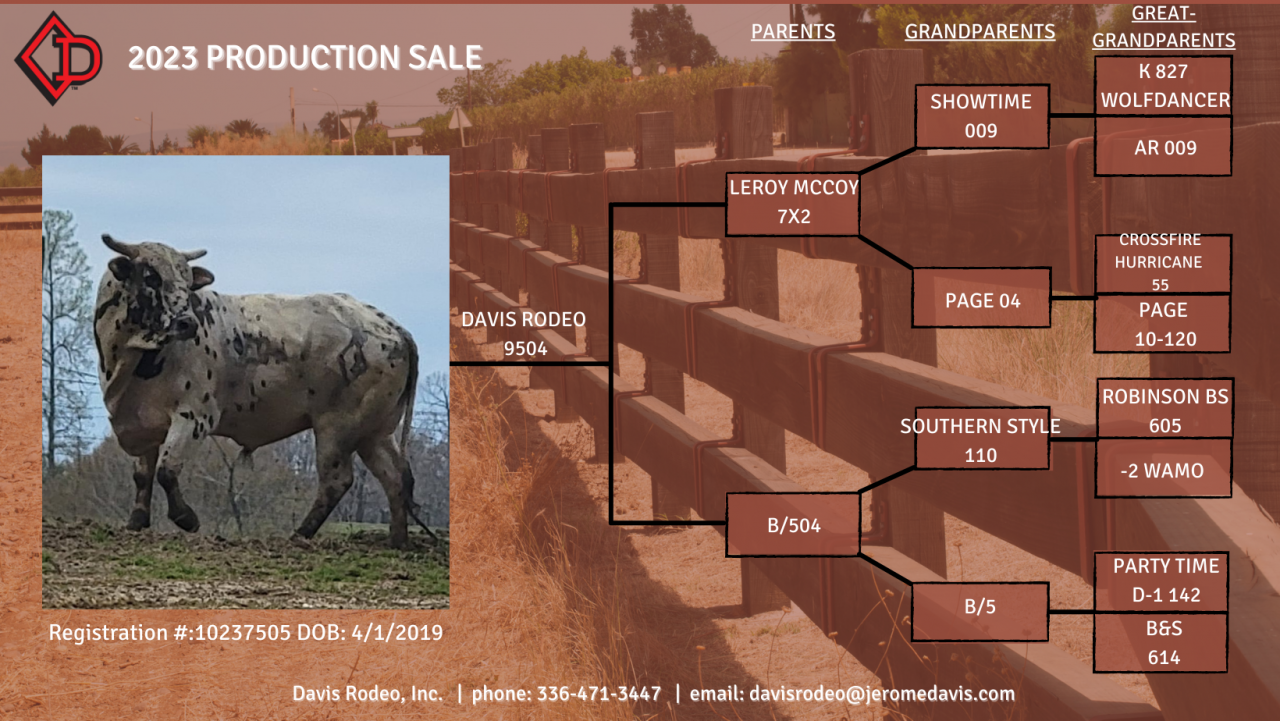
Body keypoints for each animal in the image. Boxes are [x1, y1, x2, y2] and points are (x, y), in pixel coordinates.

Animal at [92, 234, 436, 548]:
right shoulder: (143, 421)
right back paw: (397, 541)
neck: (129, 358)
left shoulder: (194, 416)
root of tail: (391, 326)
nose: (187, 322)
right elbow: (143, 474)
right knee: (395, 477)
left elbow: (166, 469)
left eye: (188, 281)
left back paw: (300, 535)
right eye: (151, 276)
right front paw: (136, 522)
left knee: (337, 481)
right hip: (375, 432)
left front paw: (186, 518)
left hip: (337, 428)